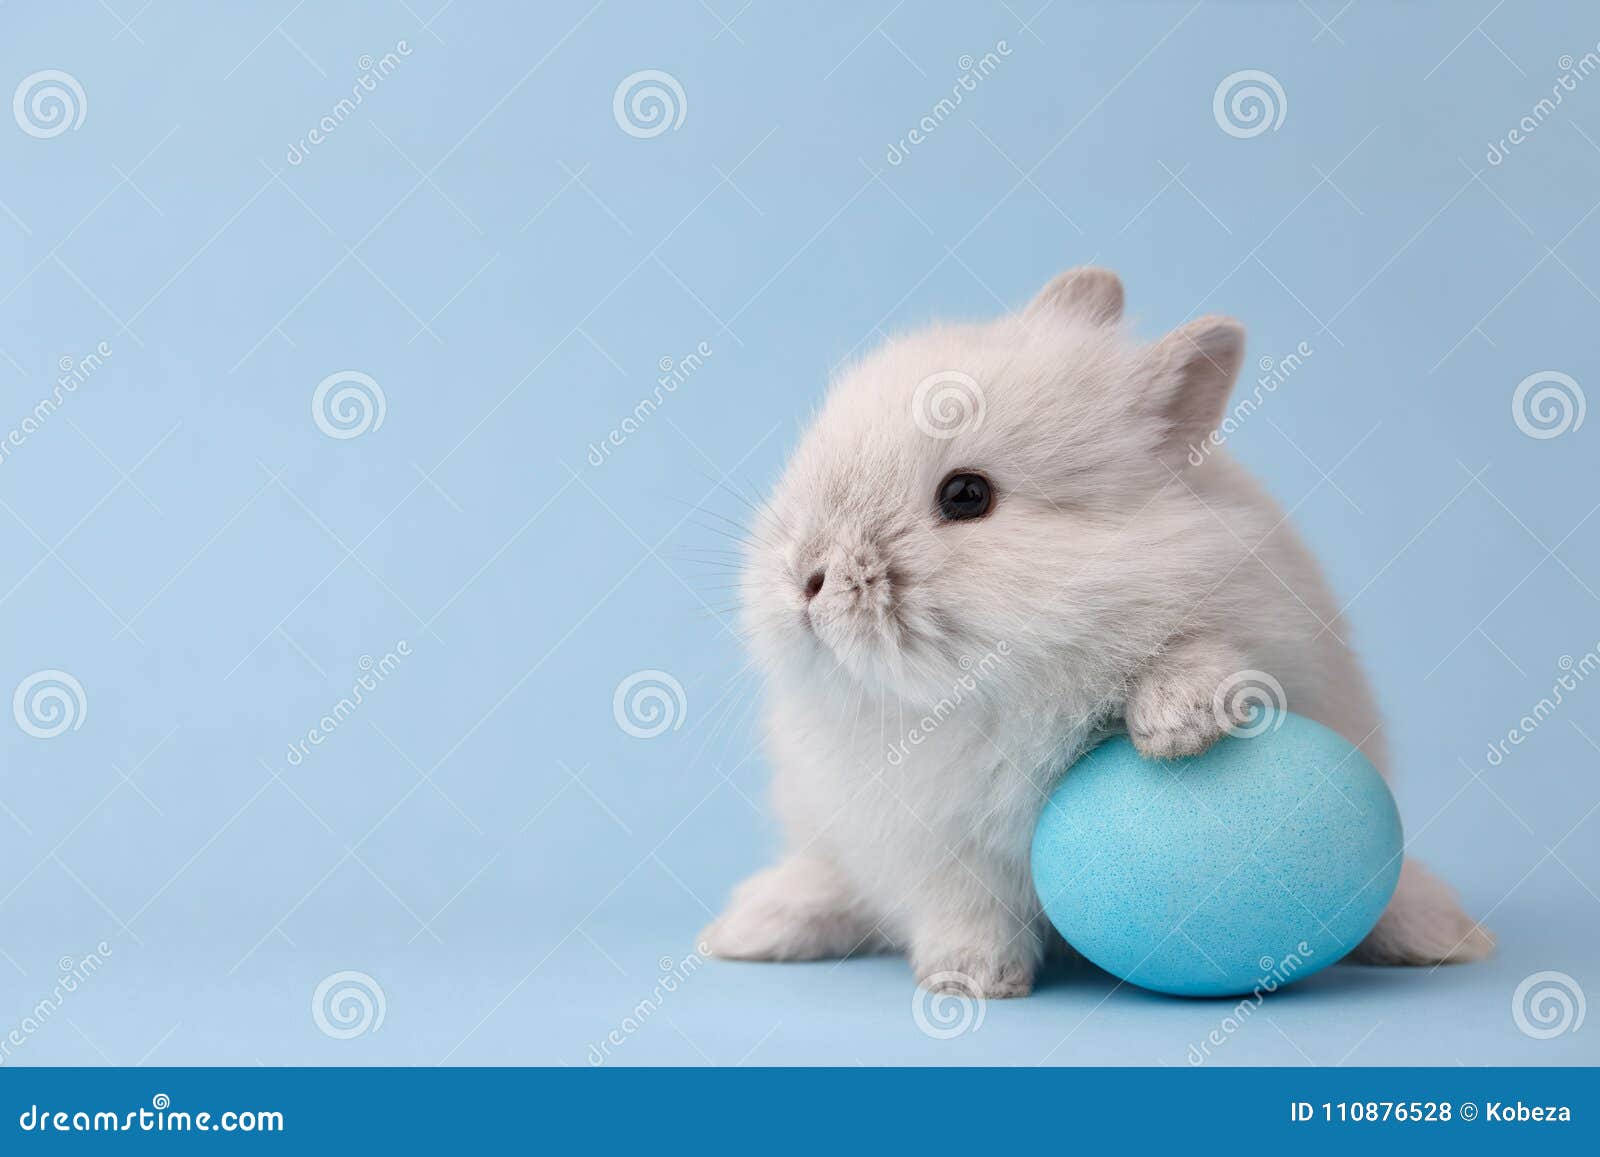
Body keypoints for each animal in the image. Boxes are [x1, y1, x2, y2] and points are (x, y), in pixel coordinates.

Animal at [701, 267, 1493, 997]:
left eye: (967, 494)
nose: (806, 578)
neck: (994, 689)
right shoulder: (936, 846)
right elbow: (966, 909)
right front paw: (971, 979)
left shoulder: (1262, 636)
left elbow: (1199, 653)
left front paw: (1177, 728)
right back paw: (747, 929)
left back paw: (1447, 938)